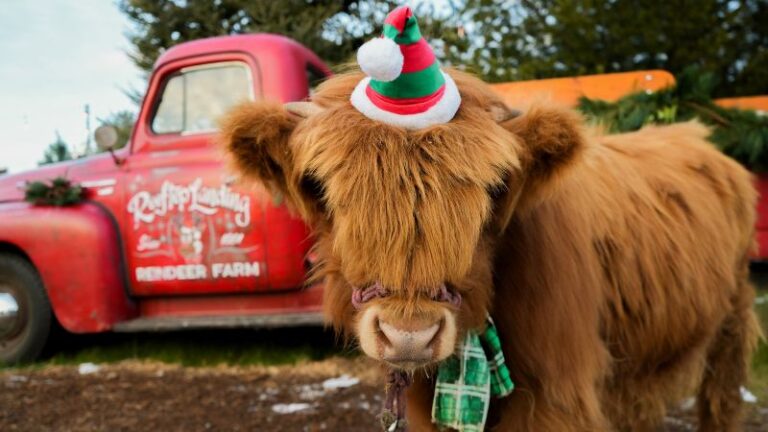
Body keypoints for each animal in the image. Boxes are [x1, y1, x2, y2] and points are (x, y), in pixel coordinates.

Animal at [219, 67, 761, 431]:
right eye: (320, 187)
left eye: (496, 188)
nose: (409, 336)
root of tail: (698, 136)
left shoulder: (556, 396)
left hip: (731, 326)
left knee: (721, 400)